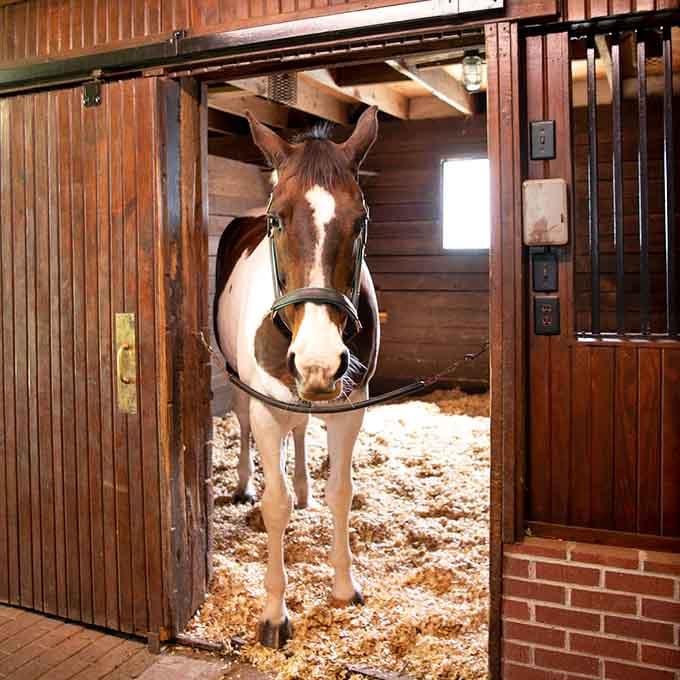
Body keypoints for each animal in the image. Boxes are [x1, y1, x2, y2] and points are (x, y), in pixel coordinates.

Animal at [213, 106, 381, 648]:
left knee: (303, 431)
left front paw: (345, 586)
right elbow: (275, 503)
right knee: (247, 429)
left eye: (360, 220)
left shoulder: (350, 409)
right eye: (277, 220)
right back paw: (245, 483)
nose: (318, 360)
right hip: (240, 386)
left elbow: (341, 492)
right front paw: (274, 612)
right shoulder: (268, 412)